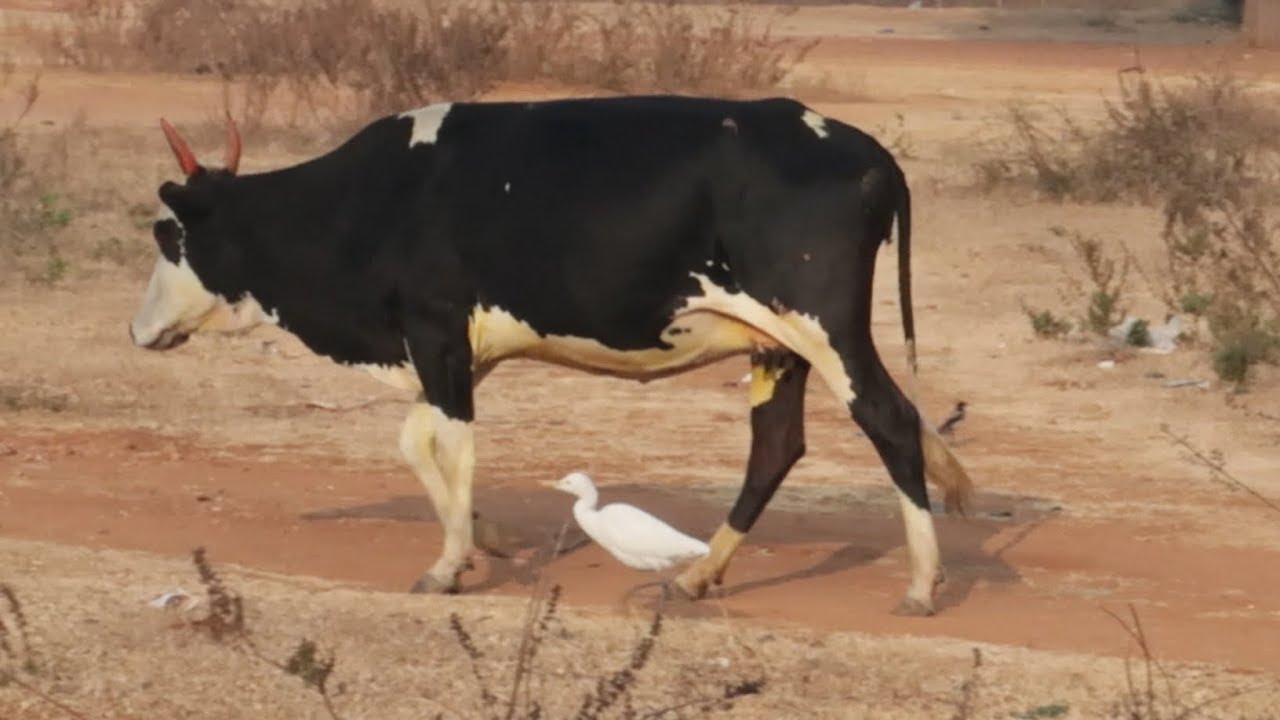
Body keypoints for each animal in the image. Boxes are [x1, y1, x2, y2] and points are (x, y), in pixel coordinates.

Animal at [127, 95, 974, 616]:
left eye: (167, 235)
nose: (136, 331)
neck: (373, 200)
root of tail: (865, 148)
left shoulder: (436, 333)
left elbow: (447, 447)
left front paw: (448, 565)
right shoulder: (450, 353)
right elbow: (418, 444)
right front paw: (488, 538)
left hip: (825, 327)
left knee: (891, 421)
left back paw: (923, 582)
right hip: (778, 347)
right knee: (778, 446)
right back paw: (699, 574)